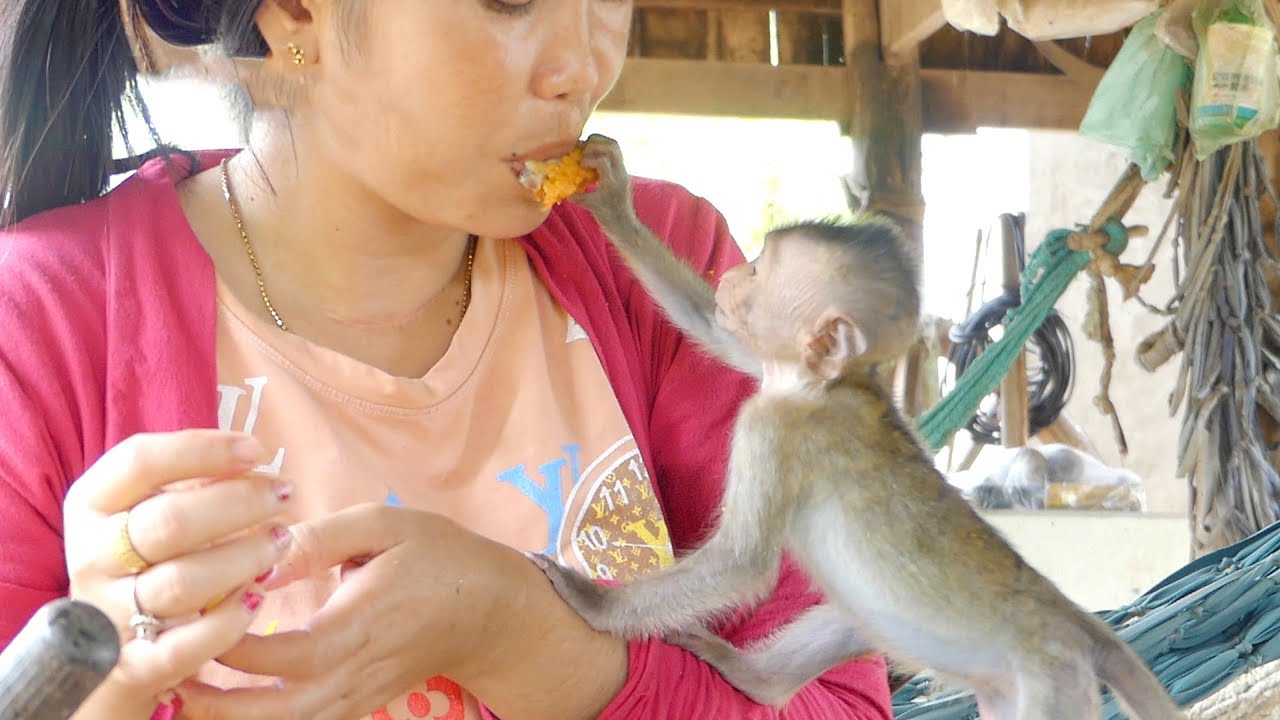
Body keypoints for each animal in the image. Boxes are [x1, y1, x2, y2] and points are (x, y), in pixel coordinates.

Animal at [527, 133, 1183, 720]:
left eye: (761, 271)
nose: (734, 277)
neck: (829, 385)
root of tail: (1074, 620)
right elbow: (714, 332)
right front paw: (612, 202)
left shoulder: (772, 428)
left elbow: (743, 563)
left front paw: (592, 603)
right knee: (855, 616)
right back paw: (758, 678)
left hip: (1051, 677)